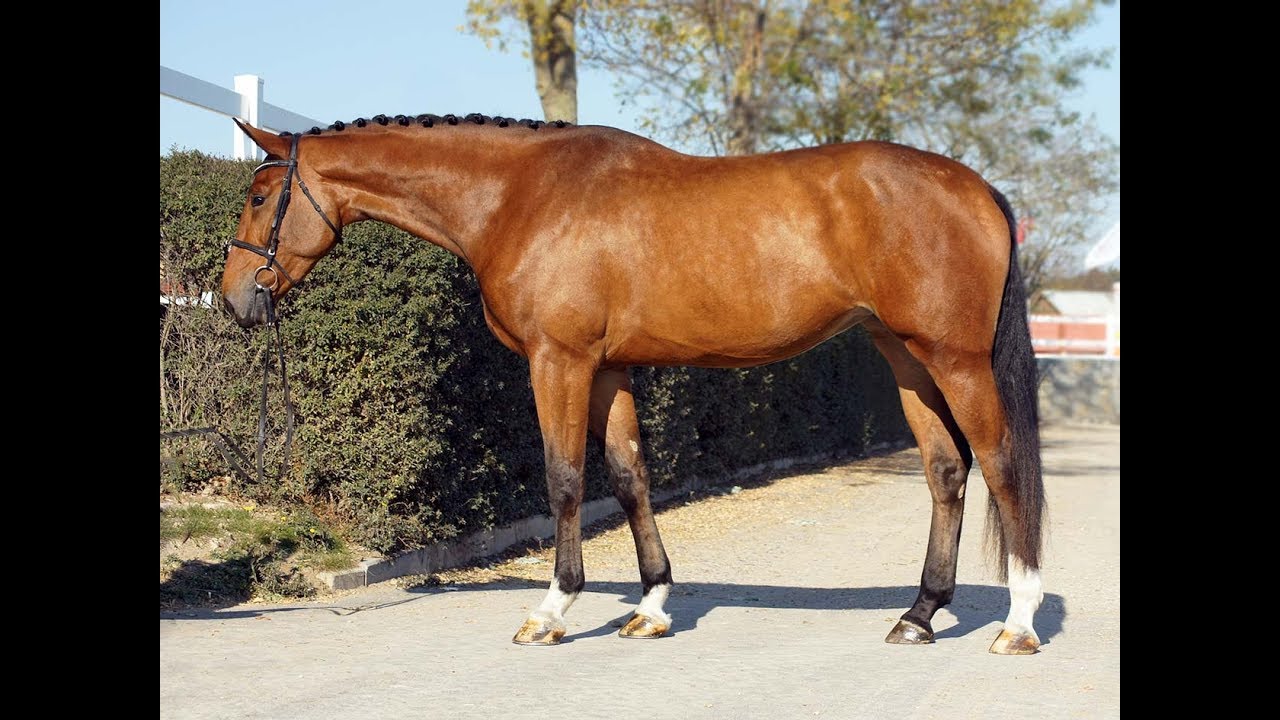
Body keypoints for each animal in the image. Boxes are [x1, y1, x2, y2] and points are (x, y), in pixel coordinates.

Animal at [222, 113, 1045, 655]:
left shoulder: (558, 360)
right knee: (946, 472)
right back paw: (919, 615)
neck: (521, 194)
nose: (235, 300)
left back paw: (1017, 622)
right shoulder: (608, 369)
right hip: (905, 357)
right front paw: (650, 606)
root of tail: (979, 189)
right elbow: (629, 477)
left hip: (954, 359)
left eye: (261, 197)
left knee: (1002, 467)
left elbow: (563, 478)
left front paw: (551, 610)